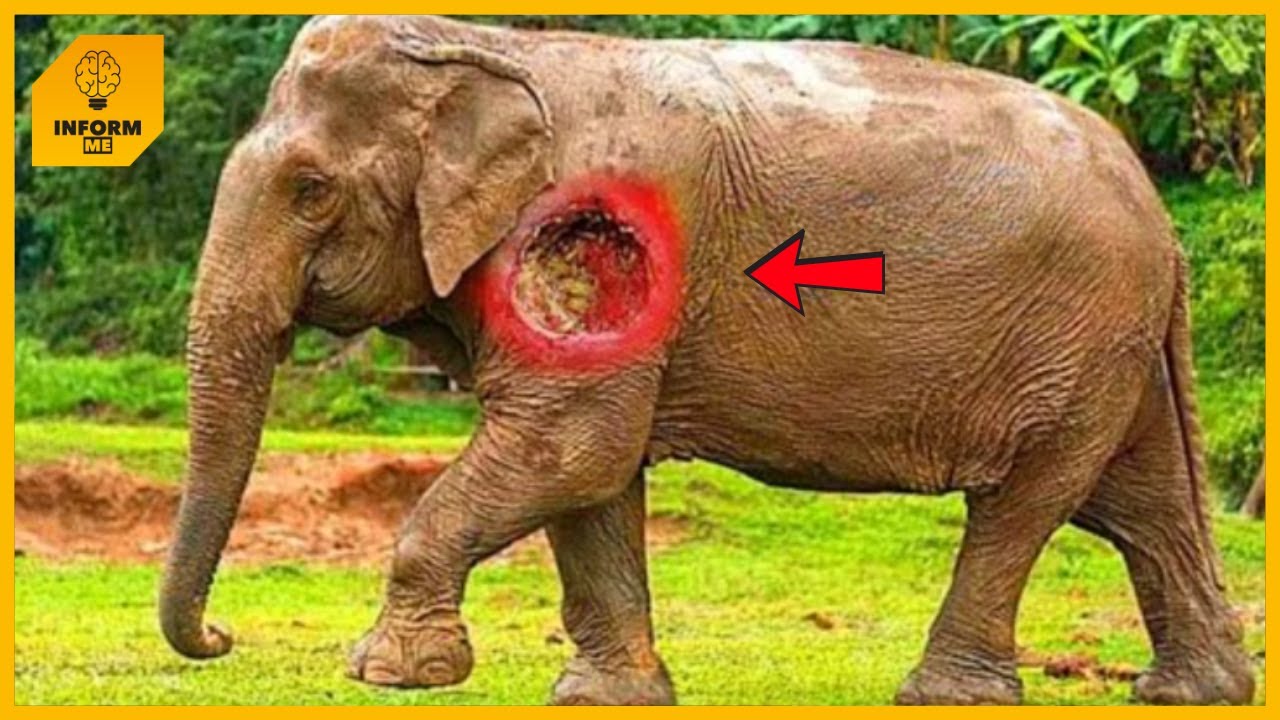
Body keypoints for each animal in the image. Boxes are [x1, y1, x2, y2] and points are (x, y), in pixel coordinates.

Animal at [159, 15, 1255, 706]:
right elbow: (592, 479)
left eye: (310, 190)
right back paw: (1195, 691)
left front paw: (389, 675)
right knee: (1139, 502)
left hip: (1071, 336)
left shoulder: (604, 239)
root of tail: (1160, 222)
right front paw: (604, 697)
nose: (222, 639)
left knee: (1024, 504)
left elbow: (574, 445)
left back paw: (945, 694)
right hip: (1105, 347)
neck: (489, 47)